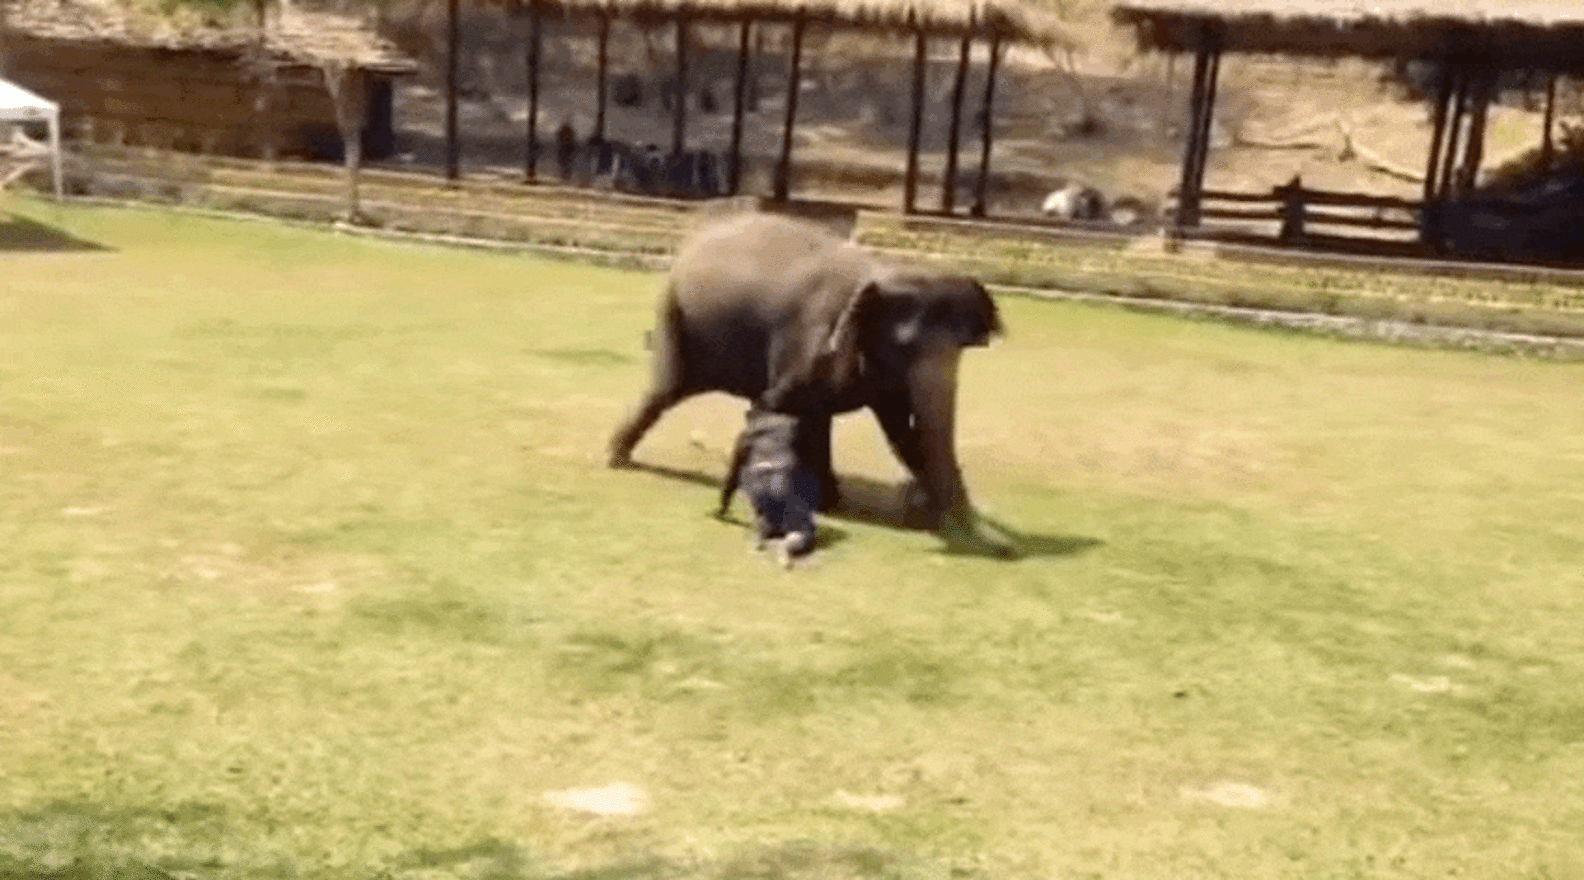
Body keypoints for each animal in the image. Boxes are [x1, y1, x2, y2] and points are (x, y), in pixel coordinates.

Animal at [608, 211, 1010, 551]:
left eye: (961, 348)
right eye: (904, 345)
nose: (1003, 547)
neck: (880, 271)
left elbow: (901, 433)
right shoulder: (808, 343)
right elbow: (780, 406)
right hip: (675, 315)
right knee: (666, 389)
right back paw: (617, 459)